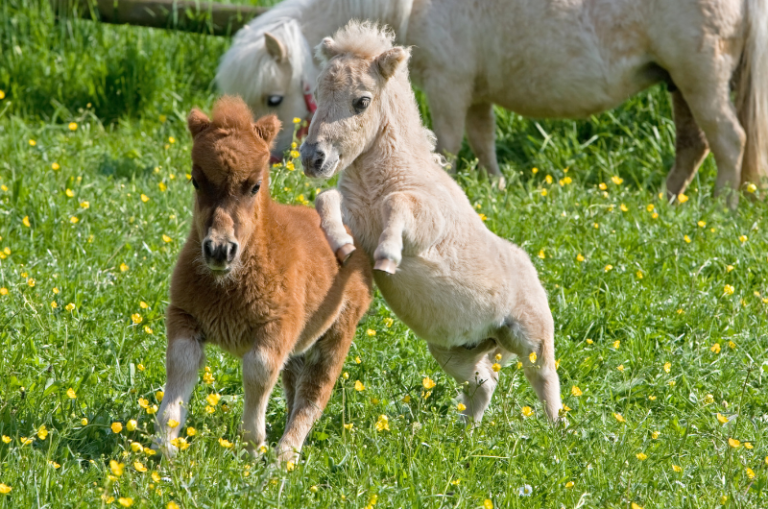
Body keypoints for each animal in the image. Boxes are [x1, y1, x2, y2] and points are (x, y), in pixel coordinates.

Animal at [154, 96, 372, 463]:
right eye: (196, 180)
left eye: (255, 185)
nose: (219, 250)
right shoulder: (184, 315)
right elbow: (180, 365)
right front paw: (165, 445)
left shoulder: (277, 328)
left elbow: (258, 371)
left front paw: (251, 449)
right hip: (303, 346)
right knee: (294, 385)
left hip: (337, 334)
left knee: (314, 393)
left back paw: (283, 459)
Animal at [217, 0, 768, 207]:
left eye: (273, 98)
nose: (273, 162)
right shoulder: (476, 93)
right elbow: (484, 142)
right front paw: (496, 187)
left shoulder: (450, 86)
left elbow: (450, 144)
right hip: (678, 84)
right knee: (693, 144)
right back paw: (667, 201)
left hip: (700, 79)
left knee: (729, 139)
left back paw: (723, 204)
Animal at [301, 22, 562, 423]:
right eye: (316, 93)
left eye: (361, 101)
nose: (314, 158)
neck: (383, 181)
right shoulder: (356, 219)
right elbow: (325, 199)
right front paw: (340, 245)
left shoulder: (426, 223)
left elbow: (398, 204)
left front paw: (388, 257)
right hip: (453, 350)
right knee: (484, 384)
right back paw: (465, 431)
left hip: (531, 335)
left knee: (545, 377)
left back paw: (556, 430)